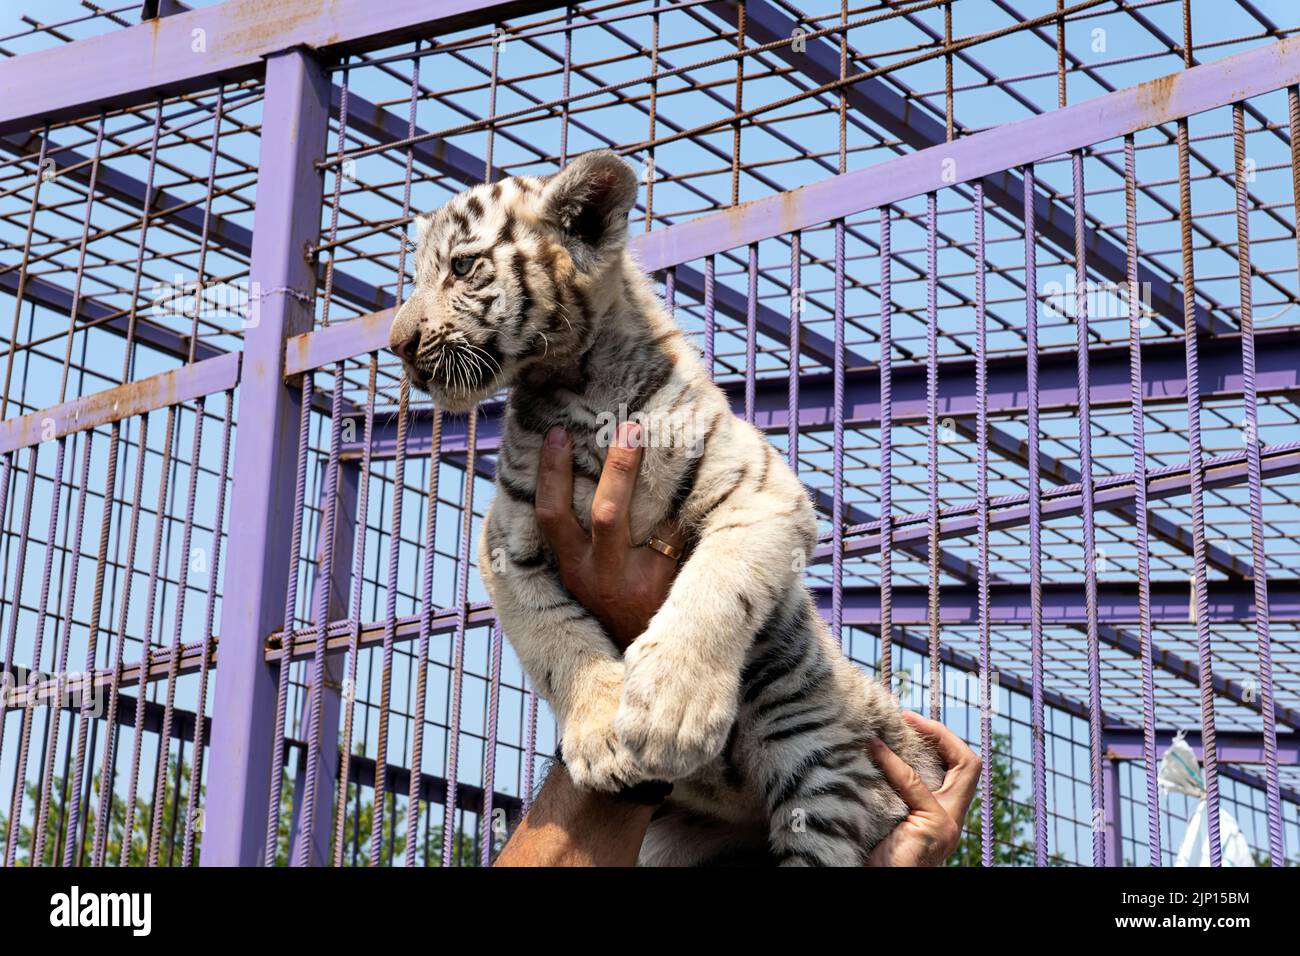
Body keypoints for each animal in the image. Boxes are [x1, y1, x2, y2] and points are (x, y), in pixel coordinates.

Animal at [387, 149, 942, 866]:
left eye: (460, 267)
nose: (398, 344)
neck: (573, 385)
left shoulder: (761, 490)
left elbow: (717, 586)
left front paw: (669, 715)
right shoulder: (506, 545)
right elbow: (553, 636)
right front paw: (601, 735)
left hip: (826, 767)